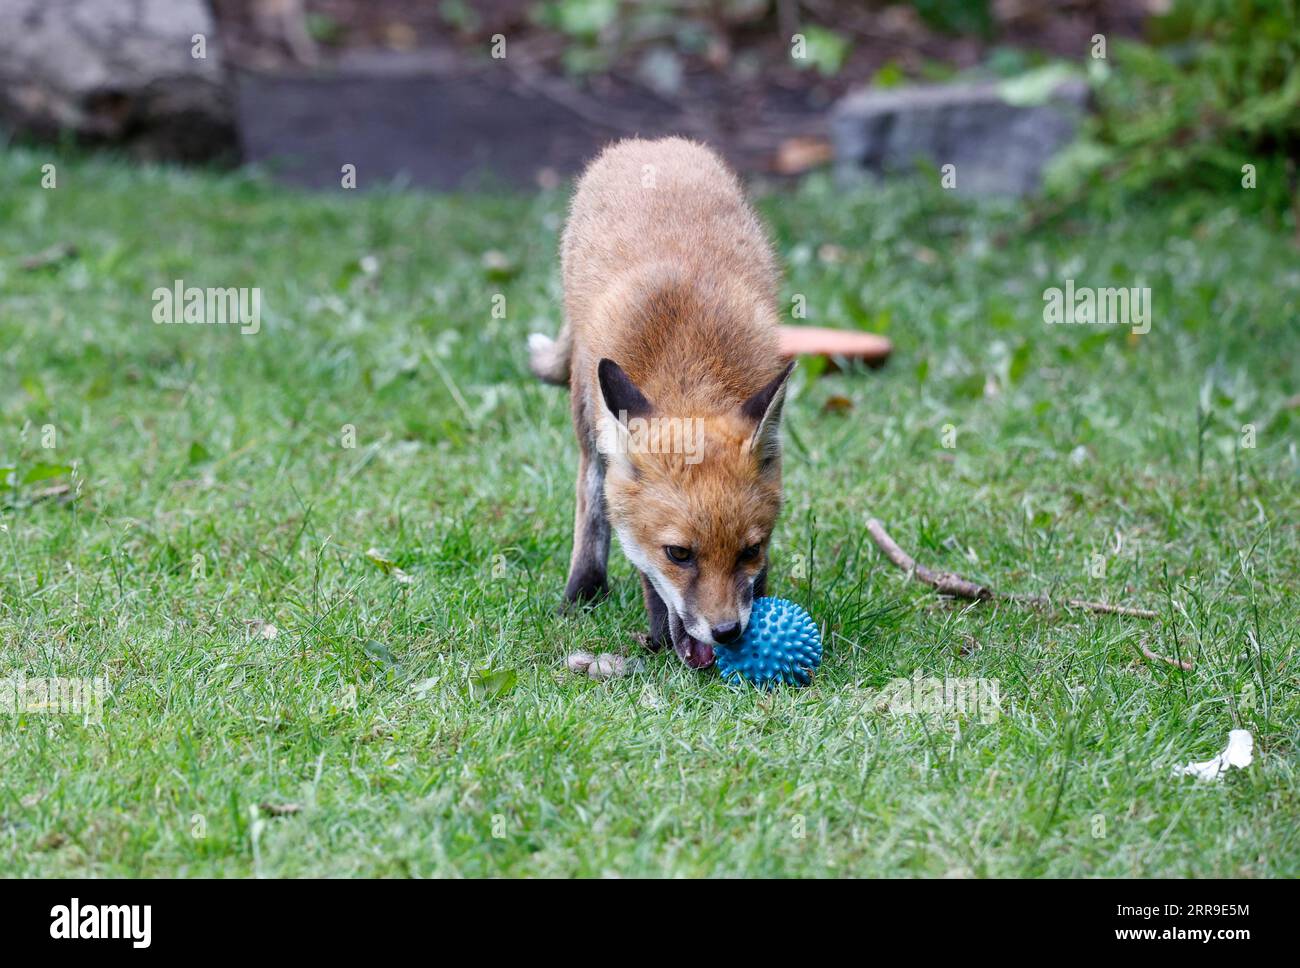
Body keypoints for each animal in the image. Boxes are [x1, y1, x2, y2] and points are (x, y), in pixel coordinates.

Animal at [528, 137, 794, 670]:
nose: (728, 633)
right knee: (592, 496)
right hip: (587, 409)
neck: (688, 358)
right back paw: (582, 591)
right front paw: (656, 634)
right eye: (679, 554)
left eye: (750, 550)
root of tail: (648, 143)